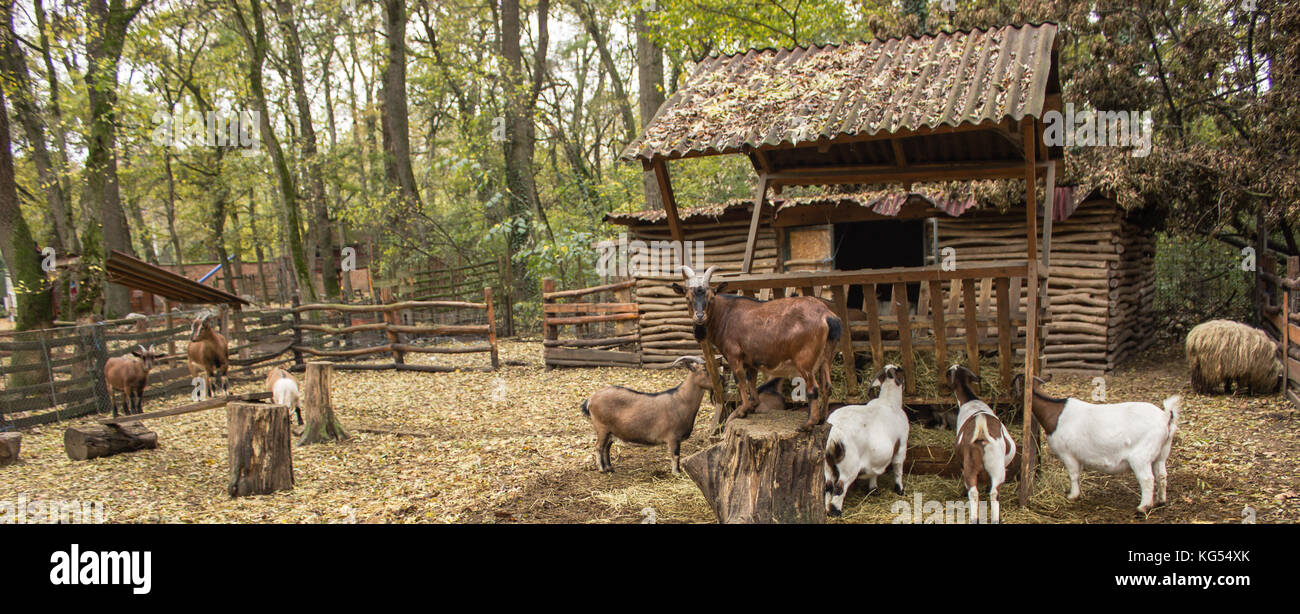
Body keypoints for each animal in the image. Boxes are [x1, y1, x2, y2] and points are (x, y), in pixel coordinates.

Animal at [581, 356, 710, 474]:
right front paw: (676, 472)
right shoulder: (673, 437)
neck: (681, 399)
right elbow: (675, 455)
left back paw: (609, 468)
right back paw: (602, 469)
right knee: (599, 447)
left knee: (606, 447)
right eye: (704, 368)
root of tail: (591, 399)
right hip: (602, 428)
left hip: (611, 431)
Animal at [673, 265, 842, 432]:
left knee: (814, 388)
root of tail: (827, 316)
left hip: (805, 359)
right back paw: (821, 419)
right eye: (688, 298)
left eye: (711, 297)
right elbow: (751, 380)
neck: (725, 315)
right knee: (827, 386)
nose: (700, 316)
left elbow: (740, 380)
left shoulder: (734, 355)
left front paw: (743, 410)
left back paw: (808, 424)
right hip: (827, 356)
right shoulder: (750, 359)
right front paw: (754, 405)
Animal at [823, 364, 909, 517]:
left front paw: (873, 489)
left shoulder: (874, 458)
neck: (889, 401)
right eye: (900, 370)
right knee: (839, 488)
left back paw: (827, 510)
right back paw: (836, 511)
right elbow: (898, 468)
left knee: (828, 486)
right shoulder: (901, 444)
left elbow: (873, 472)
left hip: (827, 463)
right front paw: (900, 490)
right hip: (848, 465)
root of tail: (834, 434)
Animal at [948, 365, 1016, 524]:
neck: (970, 400)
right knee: (993, 493)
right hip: (997, 469)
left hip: (972, 466)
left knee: (973, 492)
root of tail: (981, 435)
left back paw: (974, 518)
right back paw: (995, 518)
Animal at [1013, 375, 1180, 516]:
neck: (1056, 415)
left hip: (1141, 456)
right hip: (1161, 453)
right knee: (1161, 475)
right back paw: (1160, 500)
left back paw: (1143, 507)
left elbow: (1073, 474)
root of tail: (1165, 417)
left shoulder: (1067, 453)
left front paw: (1072, 496)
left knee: (1147, 479)